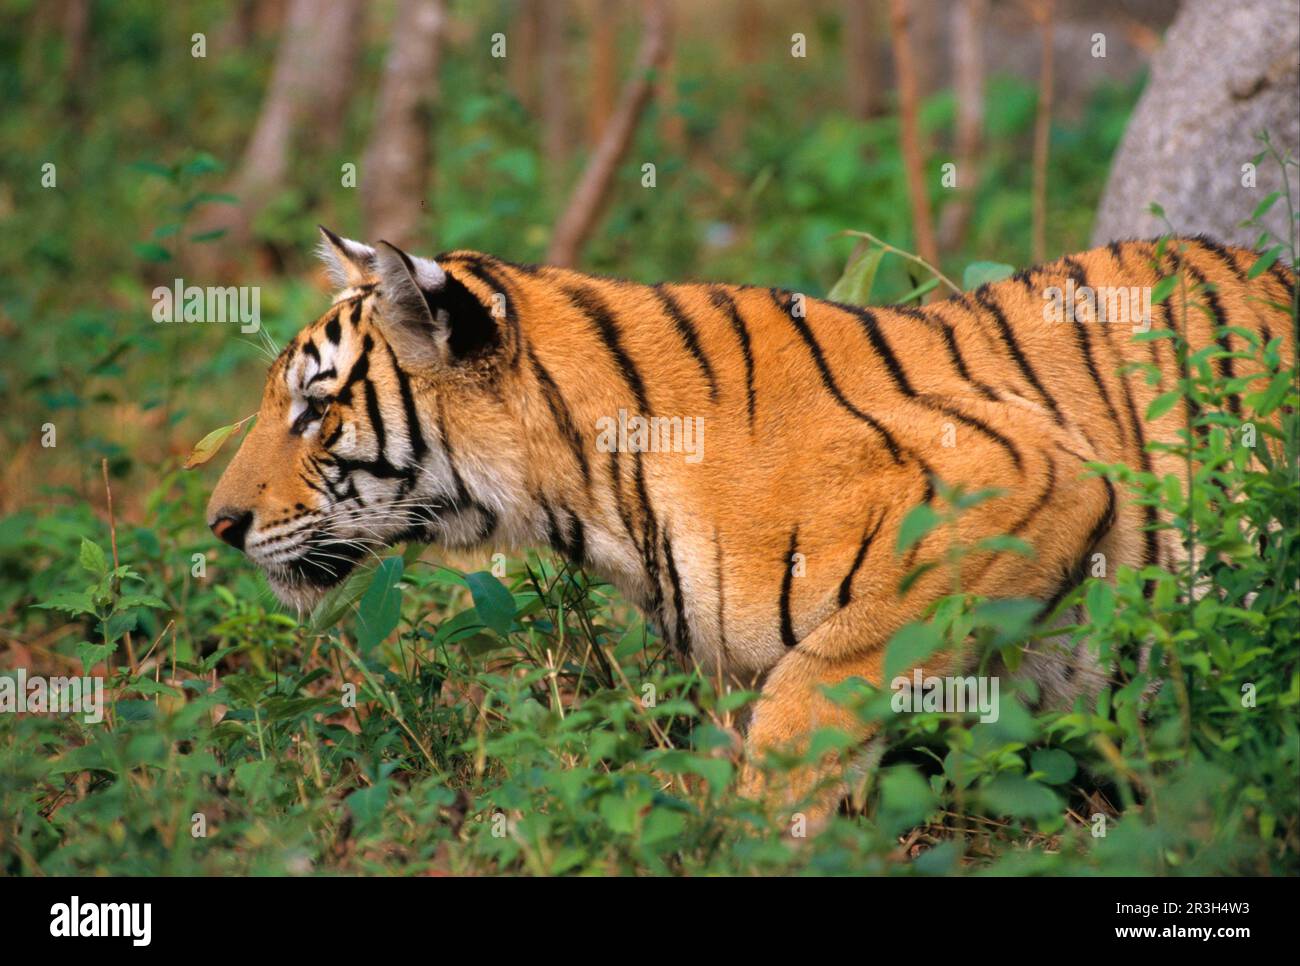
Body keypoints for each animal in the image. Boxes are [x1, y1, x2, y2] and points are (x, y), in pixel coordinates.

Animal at [207, 227, 1296, 814]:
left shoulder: (1027, 474)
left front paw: (763, 832)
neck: (592, 496)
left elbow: (818, 685)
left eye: (316, 410)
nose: (218, 524)